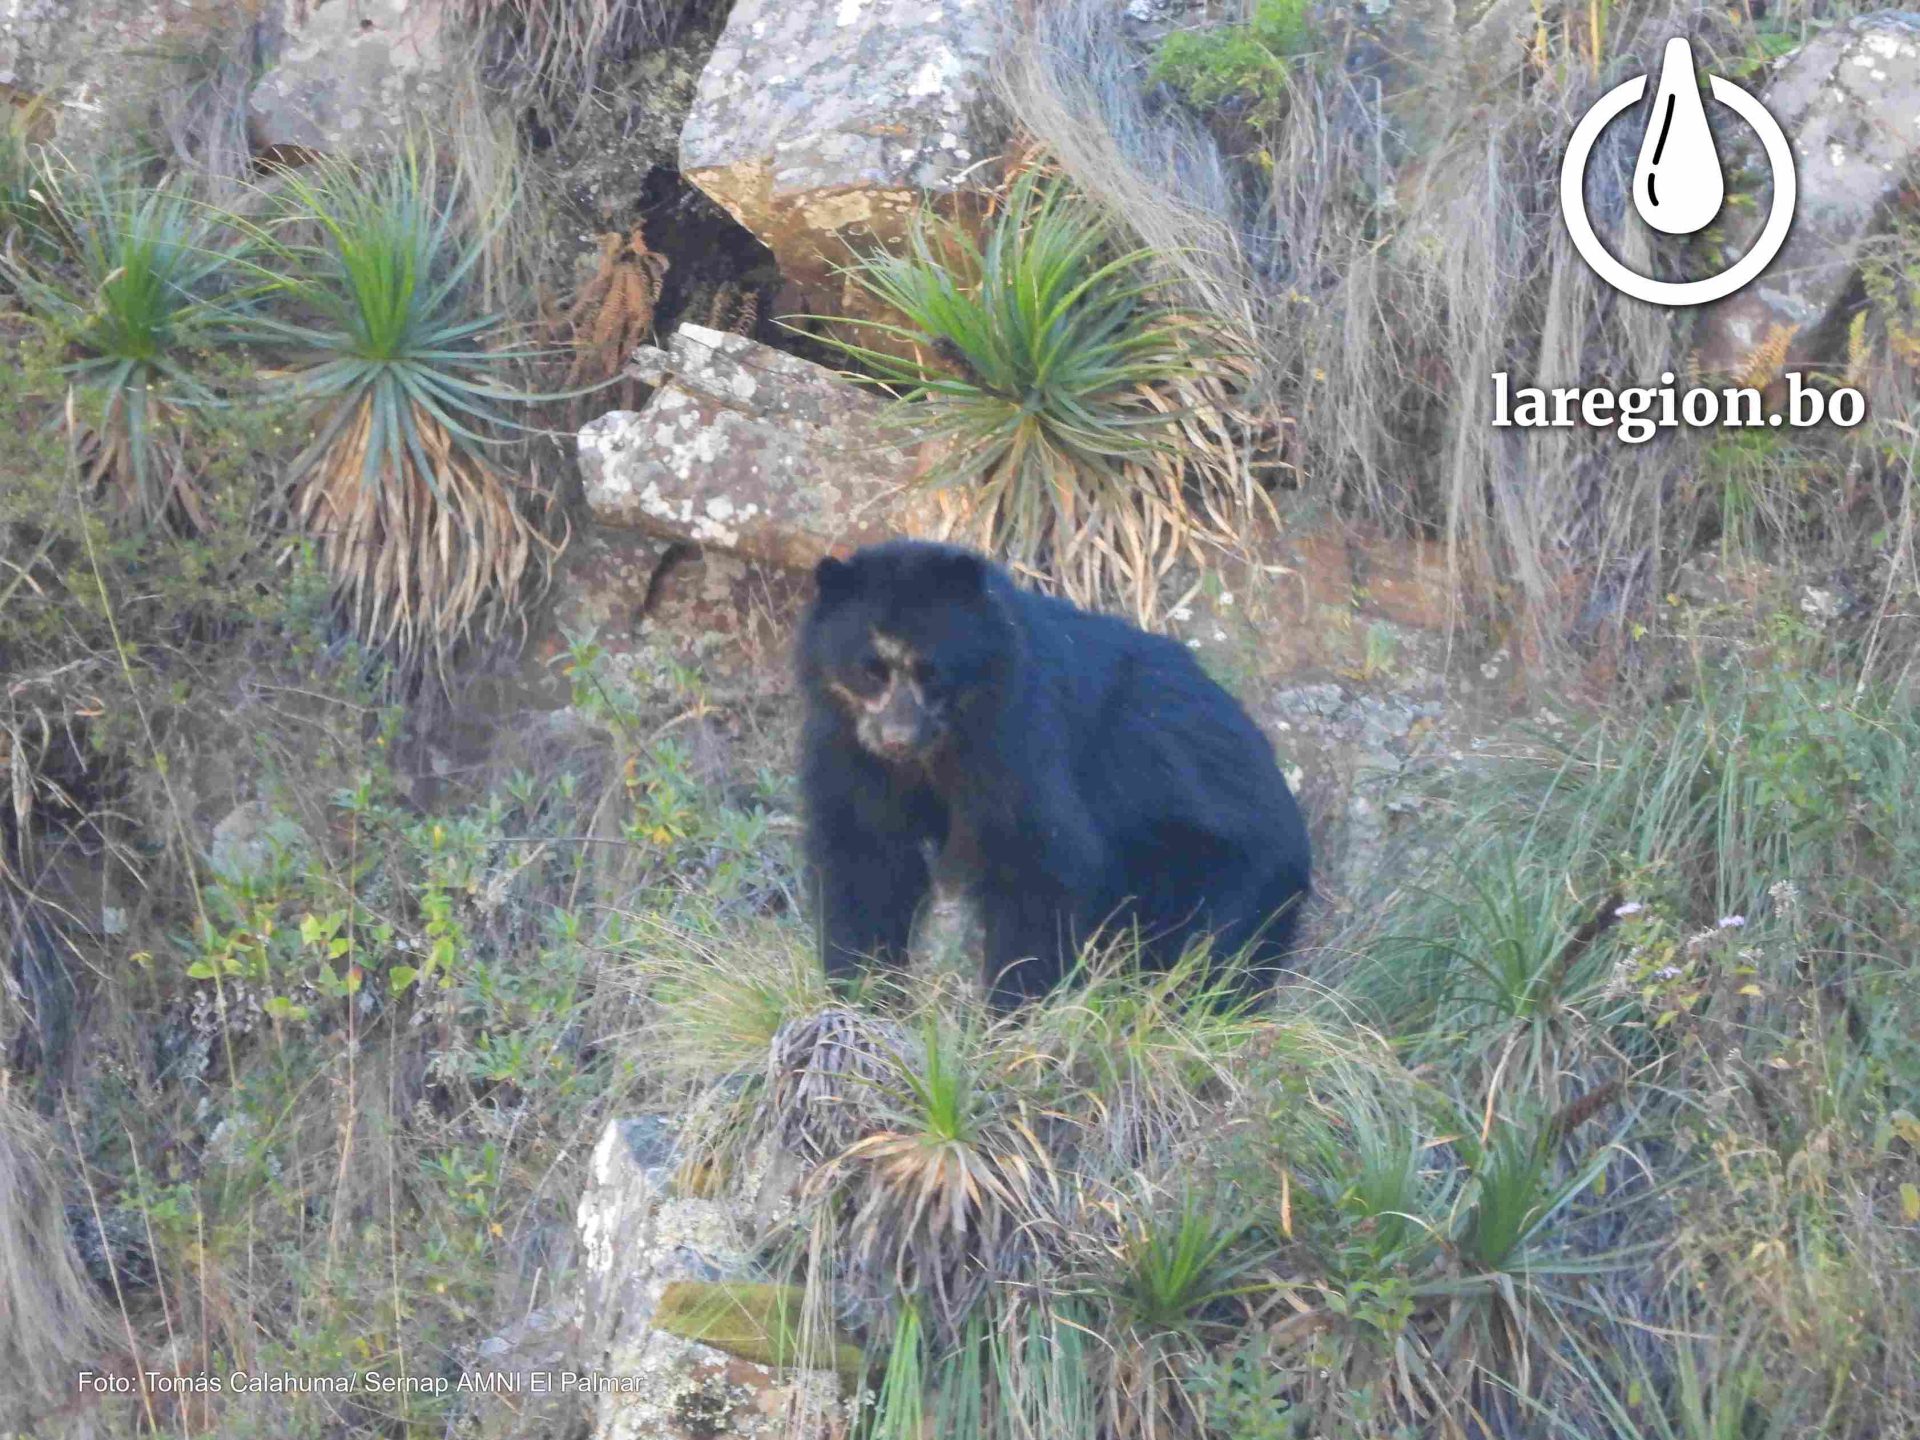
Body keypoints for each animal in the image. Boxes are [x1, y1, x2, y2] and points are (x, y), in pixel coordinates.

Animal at [796, 540, 1312, 1009]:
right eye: (869, 671)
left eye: (933, 672)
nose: (897, 739)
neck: (938, 751)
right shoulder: (849, 749)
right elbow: (865, 859)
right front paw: (860, 994)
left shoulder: (1019, 742)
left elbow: (1040, 866)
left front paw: (1008, 1013)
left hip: (1223, 870)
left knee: (1210, 952)